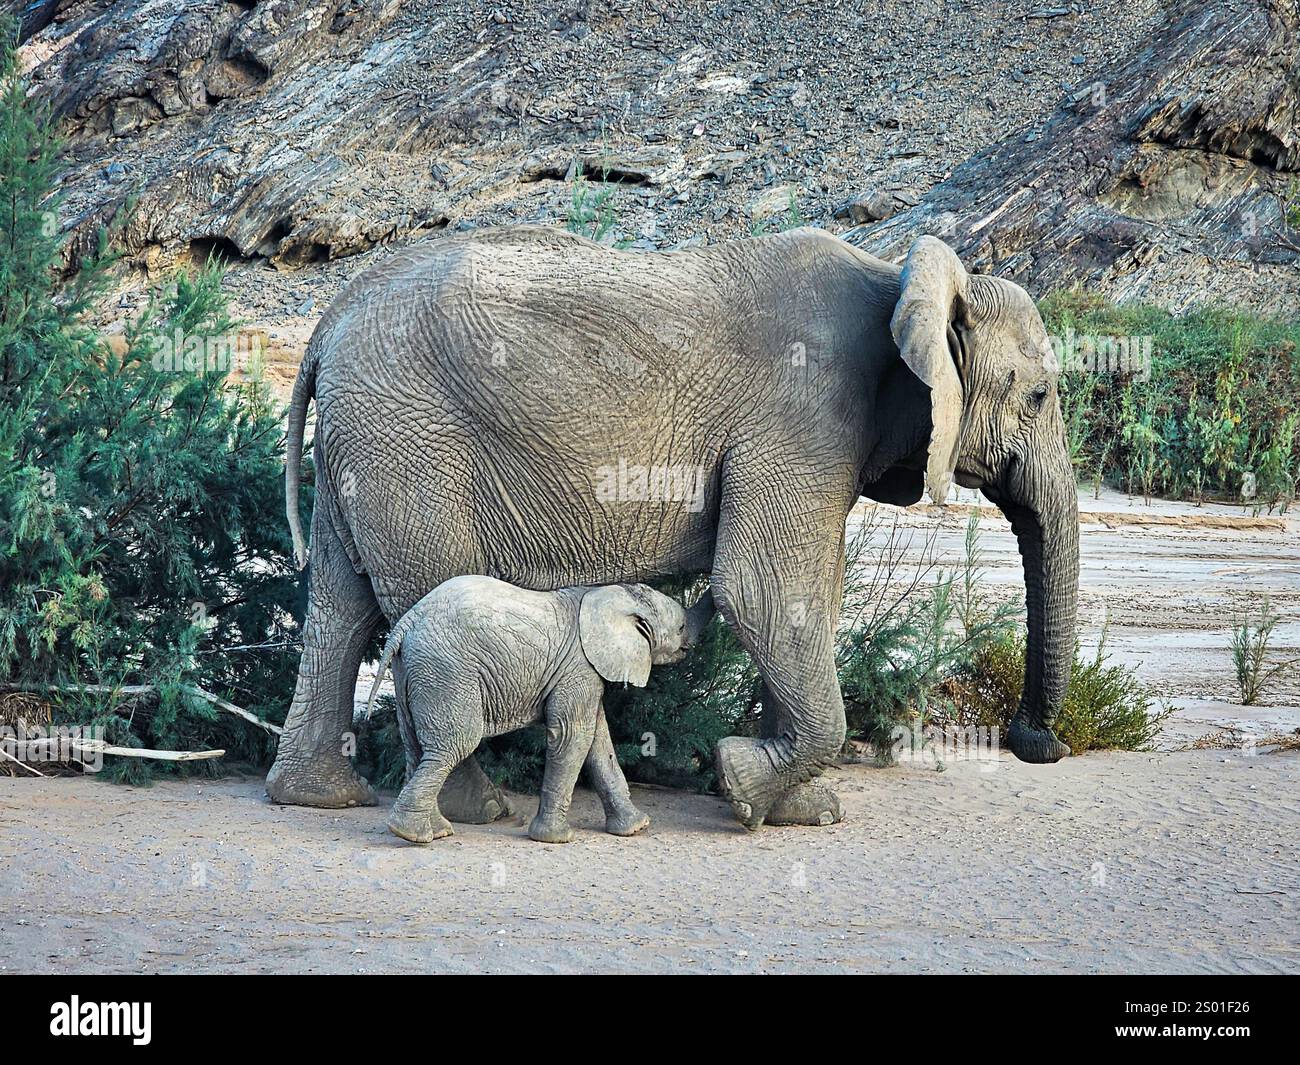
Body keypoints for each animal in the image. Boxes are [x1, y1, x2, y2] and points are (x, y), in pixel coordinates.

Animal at [364, 576, 690, 844]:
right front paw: (556, 839)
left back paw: (435, 830)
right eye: (681, 628)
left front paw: (636, 828)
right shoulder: (578, 667)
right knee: (454, 745)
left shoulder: (585, 672)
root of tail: (407, 621)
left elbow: (599, 742)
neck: (610, 593)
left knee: (416, 747)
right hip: (446, 671)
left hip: (410, 671)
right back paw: (412, 834)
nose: (690, 645)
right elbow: (573, 735)